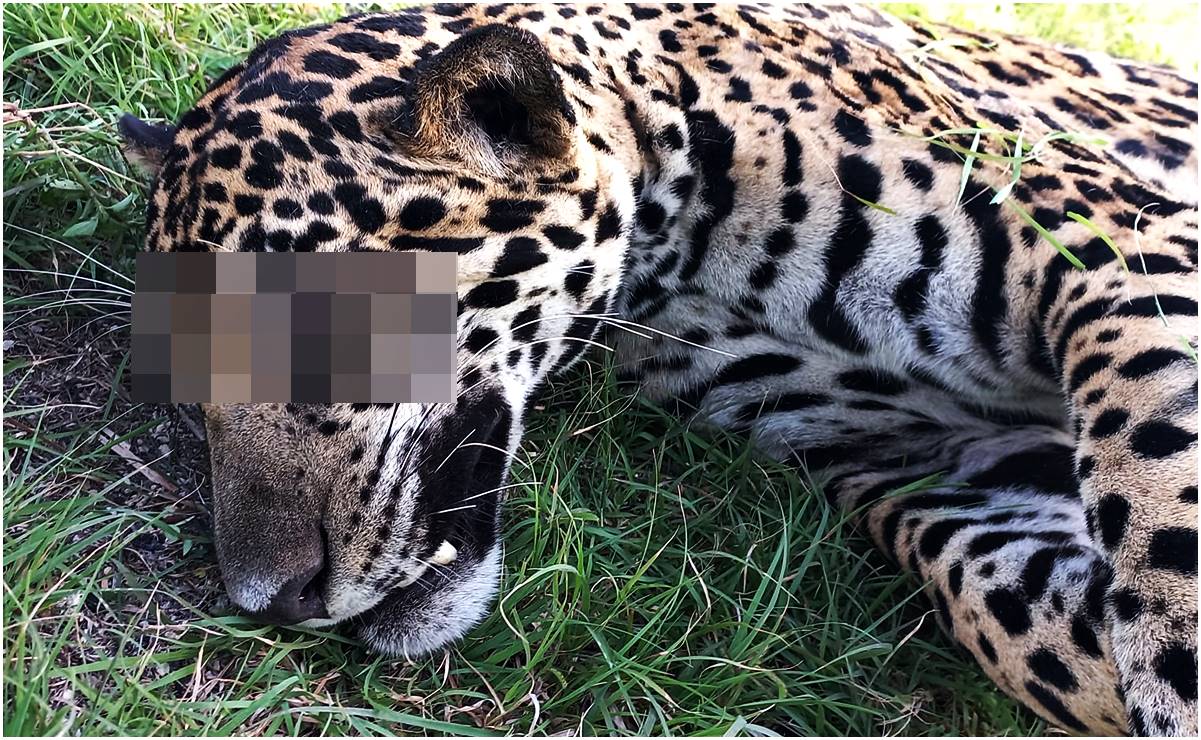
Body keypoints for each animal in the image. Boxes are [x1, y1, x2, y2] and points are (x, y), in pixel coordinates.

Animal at [117, 3, 1199, 735]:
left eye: (313, 323)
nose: (270, 601)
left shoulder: (1123, 248)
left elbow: (1160, 483)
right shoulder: (917, 463)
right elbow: (1012, 617)